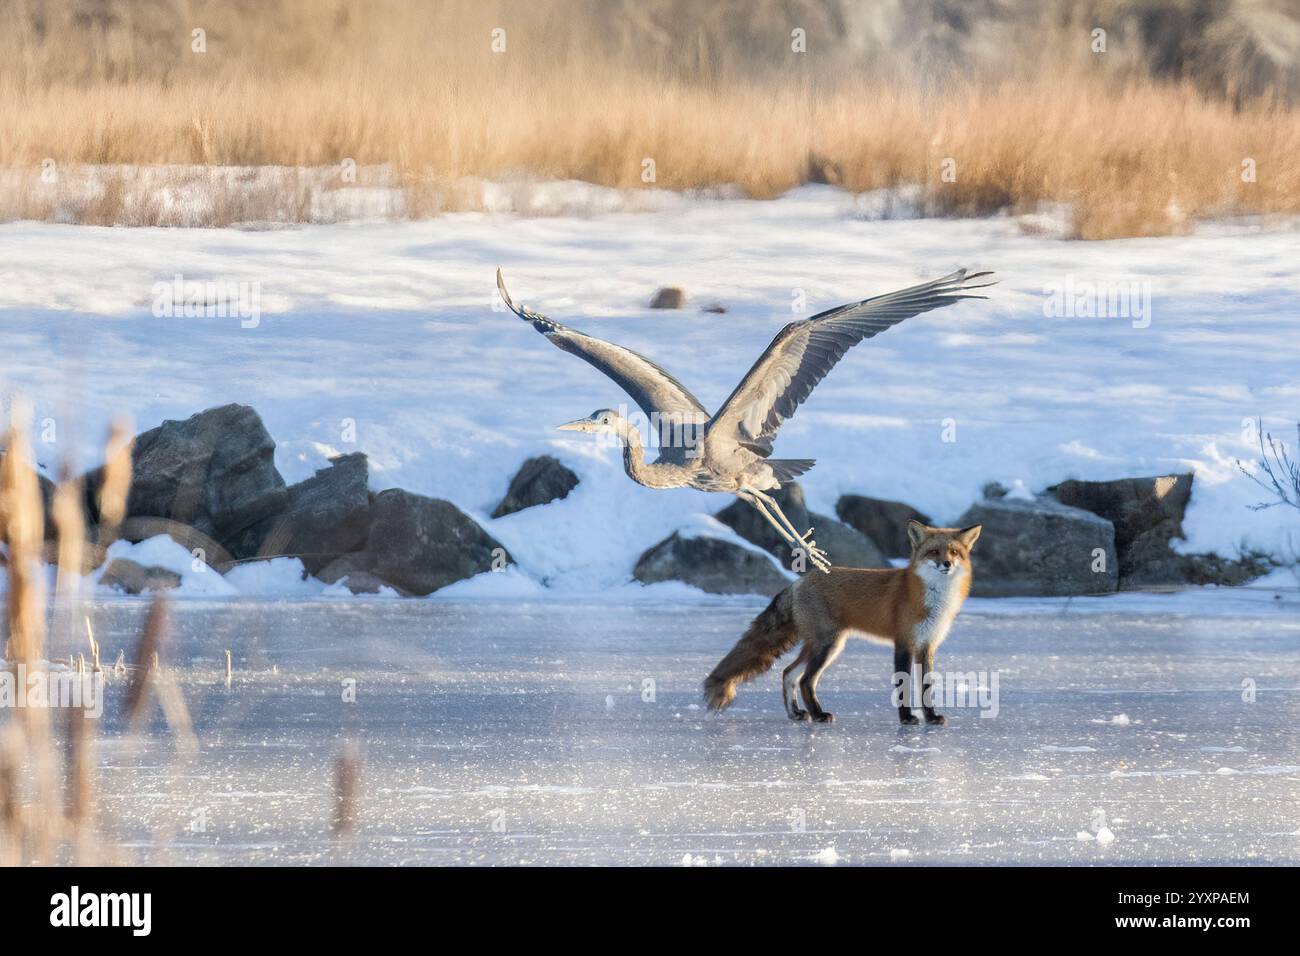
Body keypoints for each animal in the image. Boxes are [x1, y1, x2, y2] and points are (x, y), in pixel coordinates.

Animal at [703, 520, 982, 725]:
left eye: (954, 552)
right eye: (934, 551)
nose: (947, 563)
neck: (932, 599)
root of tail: (799, 581)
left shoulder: (926, 645)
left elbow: (926, 687)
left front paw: (931, 717)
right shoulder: (903, 642)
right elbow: (903, 686)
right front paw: (906, 718)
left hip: (819, 645)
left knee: (788, 673)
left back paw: (796, 713)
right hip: (828, 645)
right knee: (805, 680)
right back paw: (818, 715)